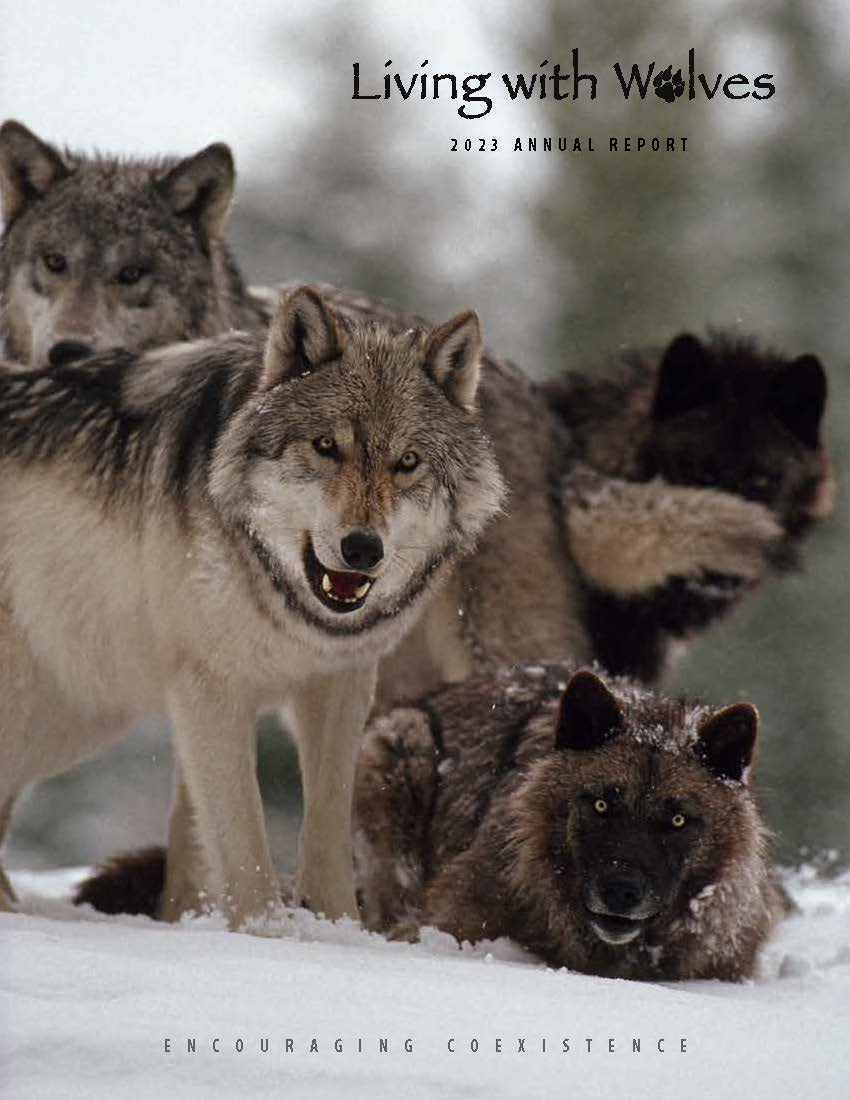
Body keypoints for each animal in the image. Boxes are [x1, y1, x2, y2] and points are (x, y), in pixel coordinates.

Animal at [0, 284, 504, 927]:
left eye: (408, 462)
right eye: (326, 447)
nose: (362, 548)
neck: (282, 598)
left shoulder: (339, 686)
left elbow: (325, 835)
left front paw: (339, 932)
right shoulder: (210, 692)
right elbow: (242, 844)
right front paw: (263, 934)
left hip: (74, 714)